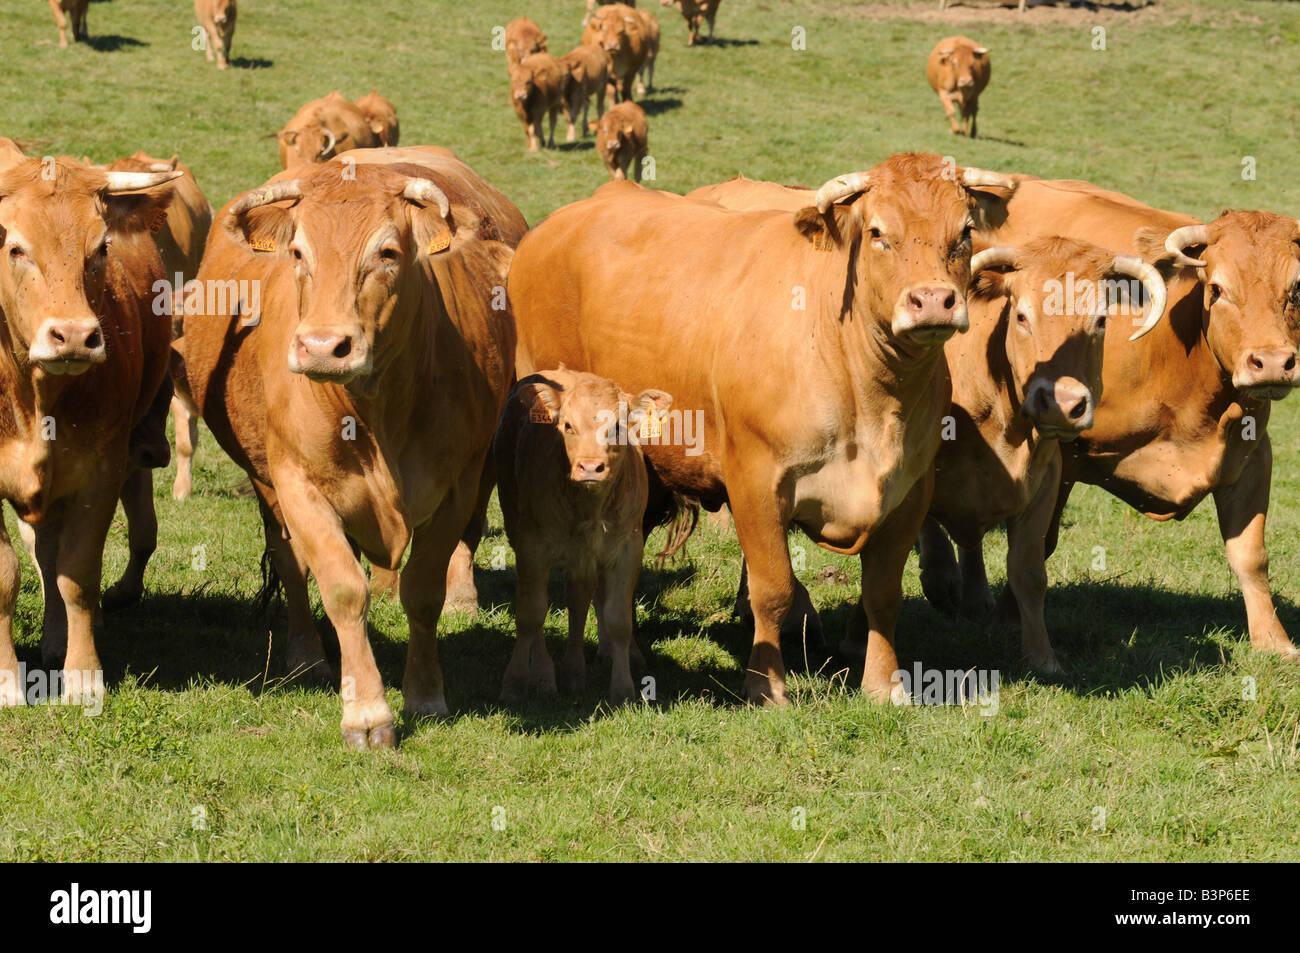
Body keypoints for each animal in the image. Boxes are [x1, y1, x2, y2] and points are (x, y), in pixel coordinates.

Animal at [0, 140, 178, 708]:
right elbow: (7, 576)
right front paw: (7, 681)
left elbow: (75, 573)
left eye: (100, 248)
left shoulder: (98, 471)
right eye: (16, 248)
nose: (75, 336)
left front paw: (82, 676)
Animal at [182, 148, 525, 748]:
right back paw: (307, 656)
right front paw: (366, 712)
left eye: (388, 252)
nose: (323, 346)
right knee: (291, 563)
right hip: (267, 484)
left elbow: (423, 590)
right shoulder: (297, 482)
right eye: (299, 252)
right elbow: (342, 588)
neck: (376, 409)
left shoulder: (457, 486)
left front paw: (426, 694)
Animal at [495, 368, 672, 705]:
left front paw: (622, 688)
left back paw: (578, 668)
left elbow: (618, 619)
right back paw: (545, 673)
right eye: (567, 426)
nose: (590, 467)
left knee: (581, 600)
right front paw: (515, 681)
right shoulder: (531, 548)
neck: (589, 507)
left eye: (617, 426)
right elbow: (531, 613)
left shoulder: (627, 549)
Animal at [913, 238, 1167, 673]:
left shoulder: (1044, 485)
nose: (1062, 404)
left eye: (1101, 320)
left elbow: (1029, 573)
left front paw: (1041, 656)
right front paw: (939, 580)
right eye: (1020, 316)